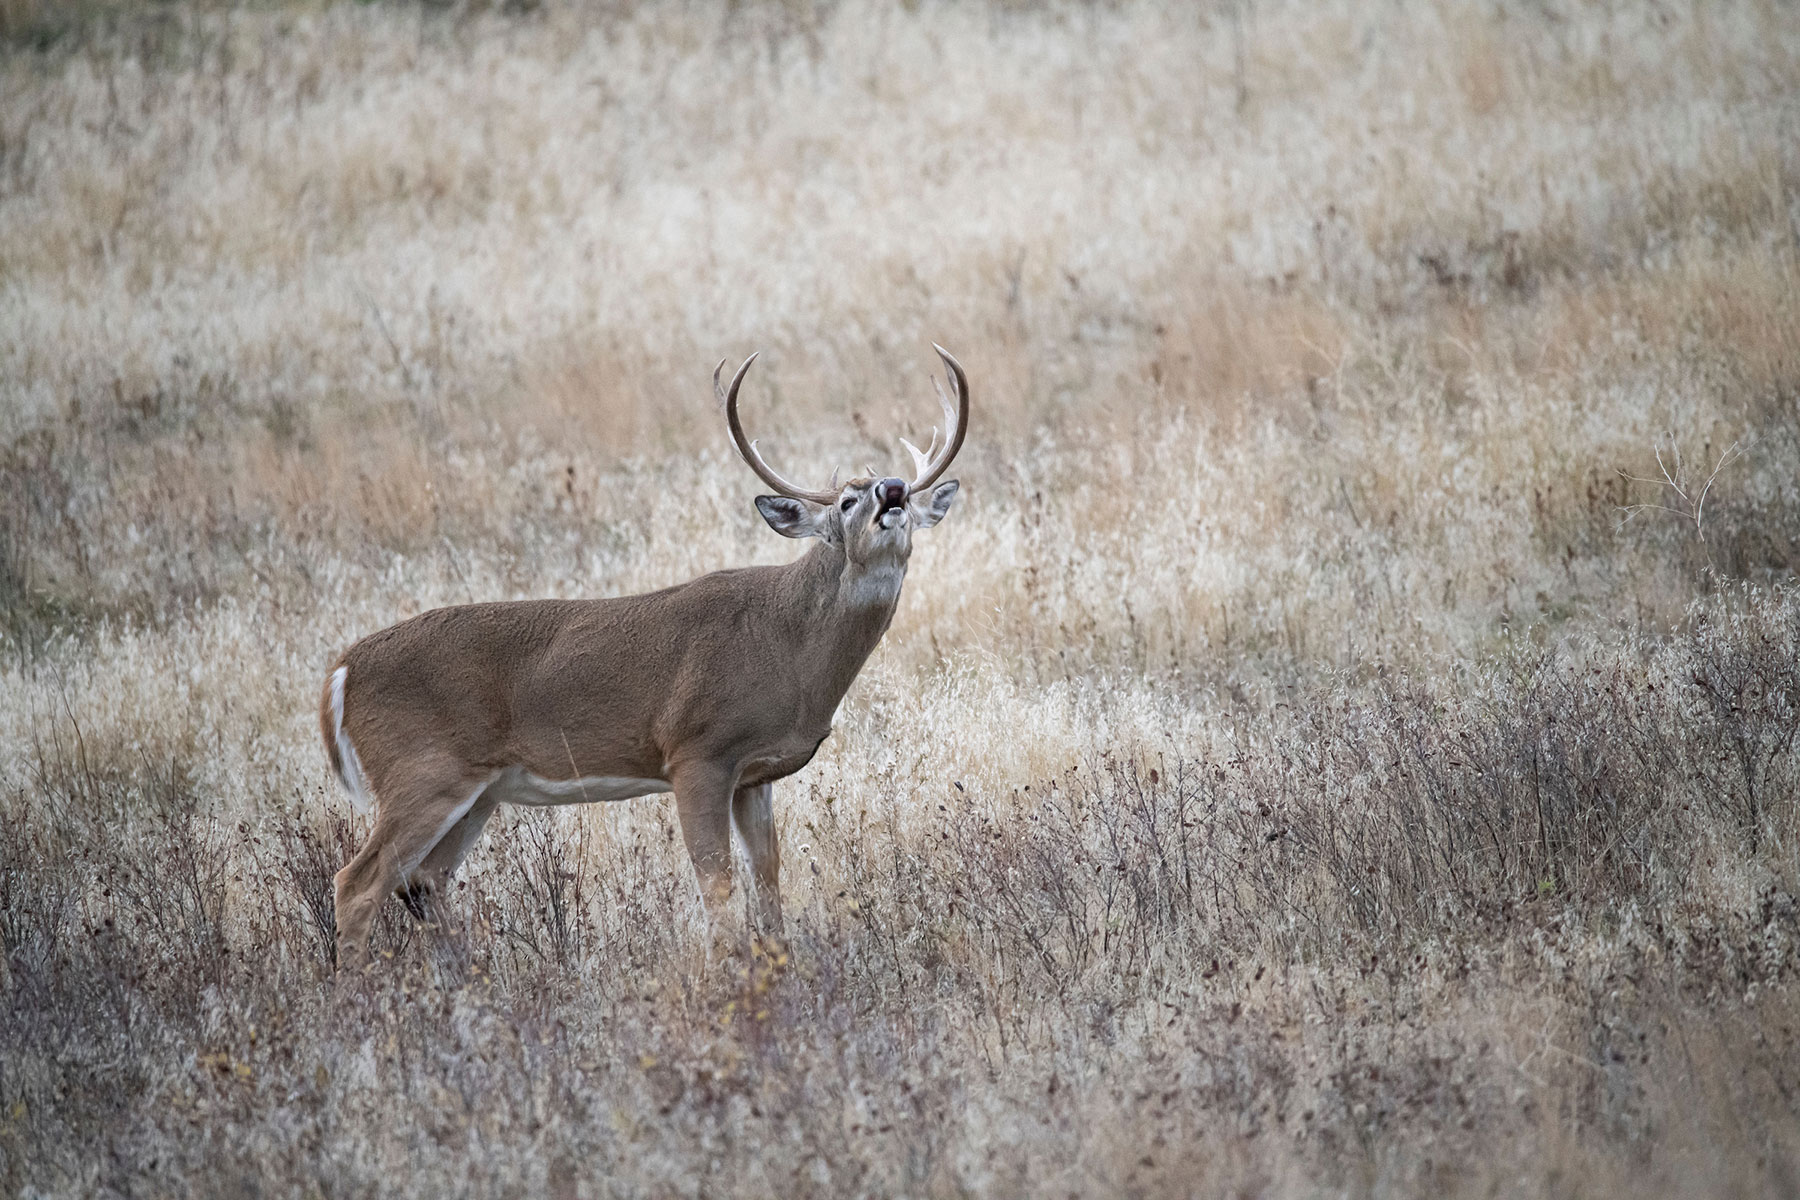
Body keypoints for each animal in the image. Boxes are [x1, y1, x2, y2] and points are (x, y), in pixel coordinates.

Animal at [318, 347, 968, 969]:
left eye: (902, 491)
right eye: (847, 500)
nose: (893, 489)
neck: (788, 646)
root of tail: (341, 672)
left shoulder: (755, 774)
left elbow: (769, 888)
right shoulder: (696, 752)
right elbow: (718, 891)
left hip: (479, 790)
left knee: (424, 880)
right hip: (420, 771)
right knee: (357, 883)